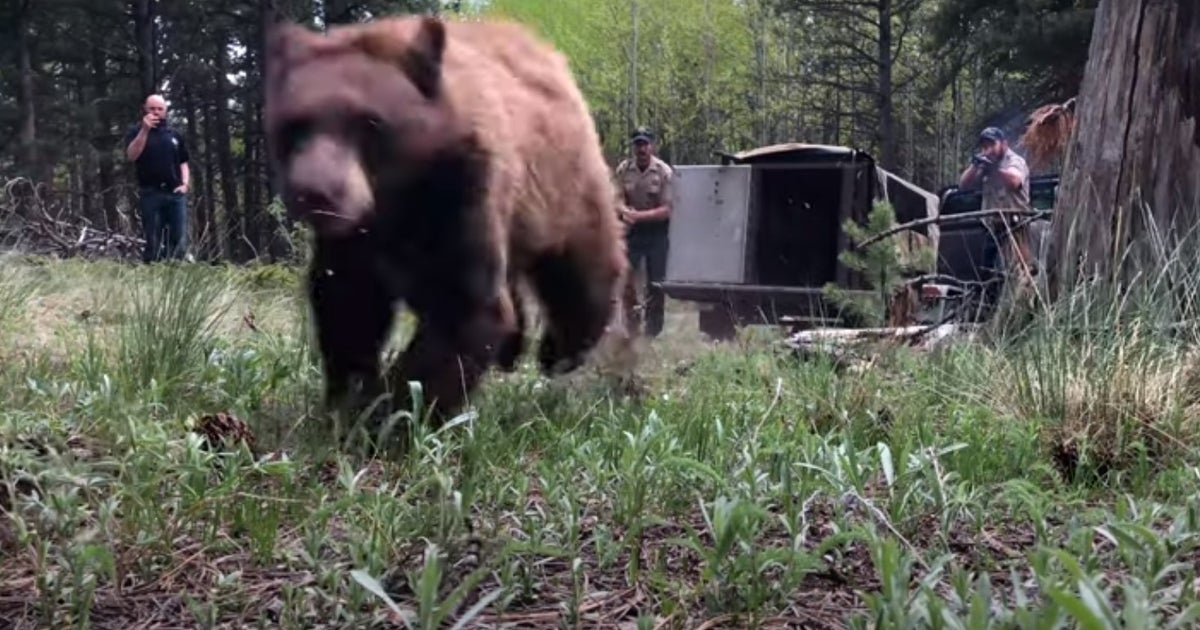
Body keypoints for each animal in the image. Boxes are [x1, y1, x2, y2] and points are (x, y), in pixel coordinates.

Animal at [263, 14, 630, 428]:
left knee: (584, 266)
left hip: (563, 187)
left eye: (370, 122)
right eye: (294, 124)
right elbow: (348, 303)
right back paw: (514, 347)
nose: (315, 192)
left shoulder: (460, 195)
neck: (397, 201)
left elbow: (464, 306)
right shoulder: (354, 236)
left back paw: (560, 351)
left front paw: (392, 413)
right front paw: (351, 403)